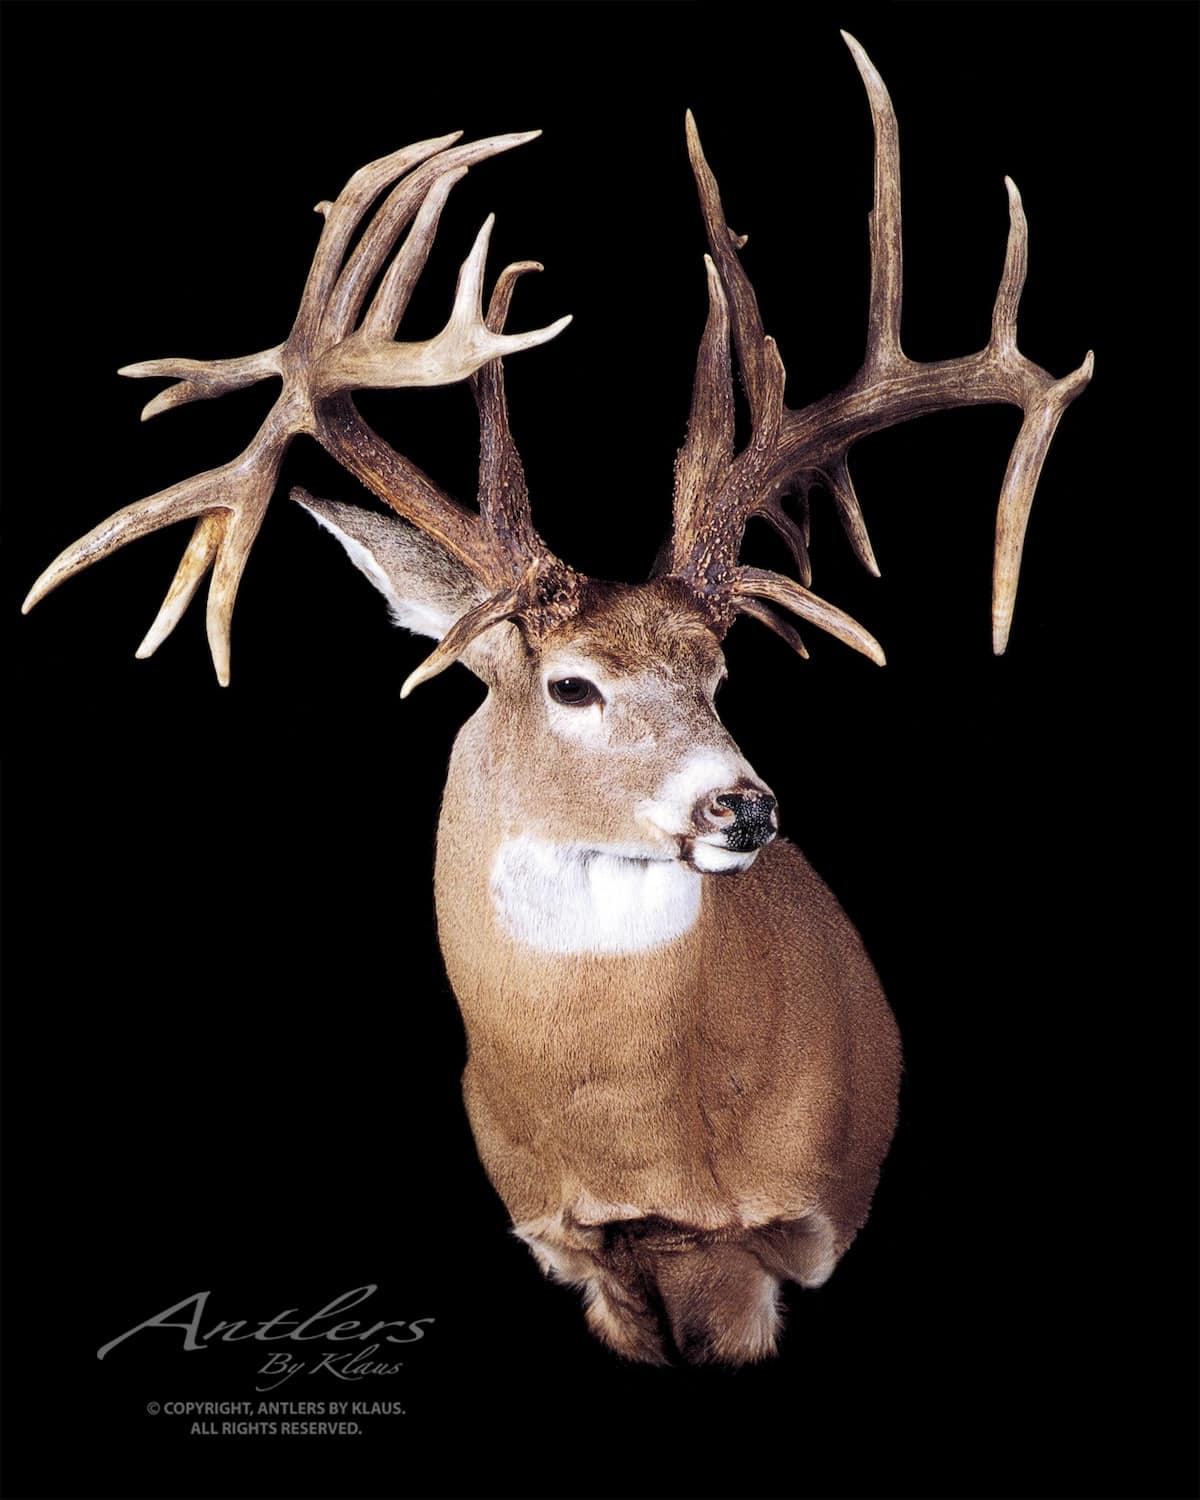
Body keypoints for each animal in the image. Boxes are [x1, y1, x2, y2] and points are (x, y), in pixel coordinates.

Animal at [23, 34, 1091, 1365]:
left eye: (720, 673)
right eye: (573, 684)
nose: (744, 807)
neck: (638, 1143)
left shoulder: (778, 1242)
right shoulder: (573, 1248)